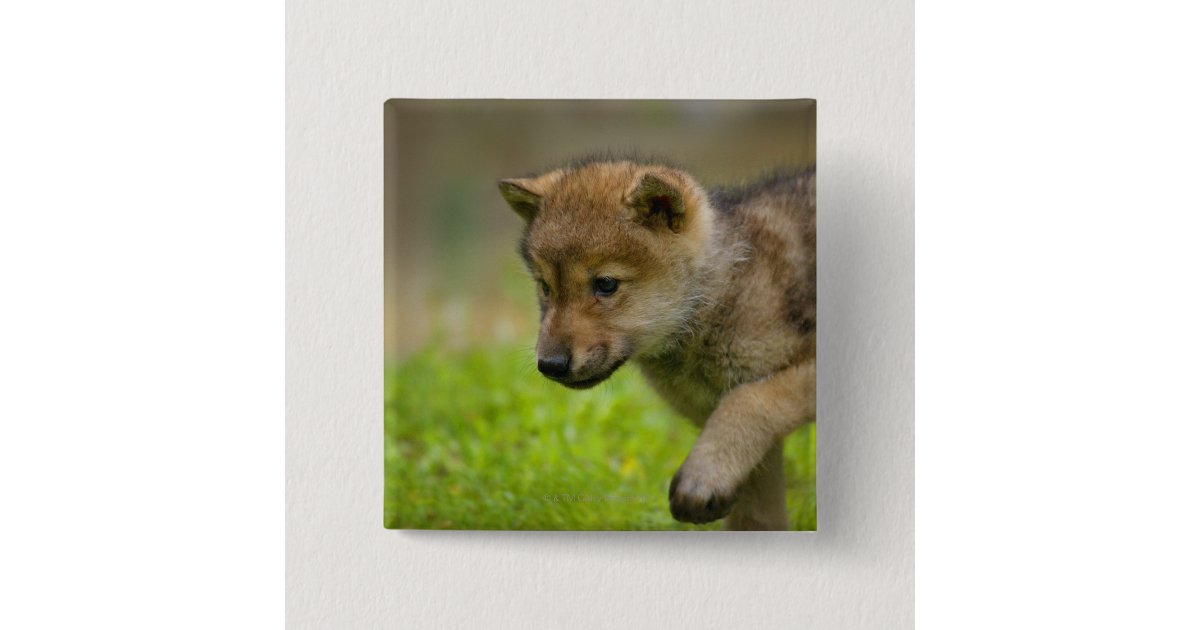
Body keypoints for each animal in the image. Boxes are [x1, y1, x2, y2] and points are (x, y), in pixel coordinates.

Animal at [498, 156, 815, 530]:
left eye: (606, 284)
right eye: (545, 287)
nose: (550, 365)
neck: (724, 292)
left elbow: (749, 400)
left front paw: (701, 476)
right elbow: (757, 515)